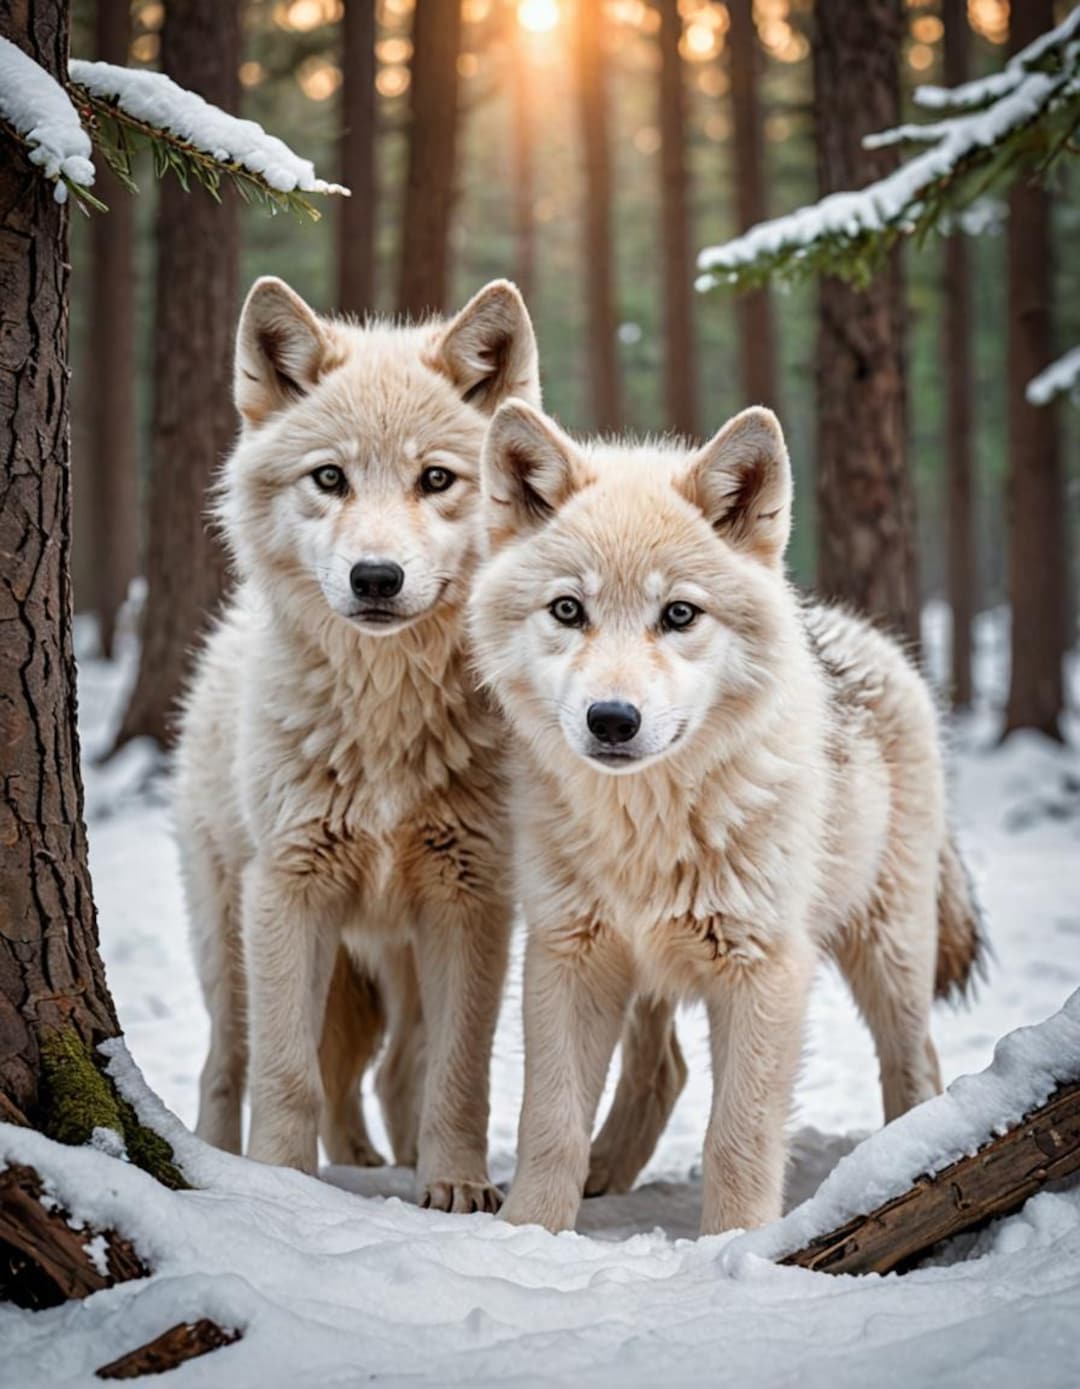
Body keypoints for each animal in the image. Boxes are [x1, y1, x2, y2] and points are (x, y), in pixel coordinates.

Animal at [175, 275, 540, 1211]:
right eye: (330, 478)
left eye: (435, 478)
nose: (376, 578)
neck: (384, 716)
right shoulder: (290, 887)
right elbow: (285, 1072)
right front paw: (280, 1183)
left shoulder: (470, 899)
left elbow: (461, 1073)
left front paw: (455, 1184)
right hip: (227, 934)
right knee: (227, 1059)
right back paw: (220, 1154)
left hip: (399, 962)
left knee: (394, 1068)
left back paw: (390, 1159)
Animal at [470, 400, 984, 1235]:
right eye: (568, 610)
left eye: (679, 613)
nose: (612, 719)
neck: (647, 824)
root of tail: (869, 637)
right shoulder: (568, 955)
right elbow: (548, 1122)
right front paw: (528, 1236)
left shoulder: (763, 968)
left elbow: (737, 1136)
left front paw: (735, 1246)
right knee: (664, 1070)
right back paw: (608, 1173)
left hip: (891, 953)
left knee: (917, 1063)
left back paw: (906, 1165)